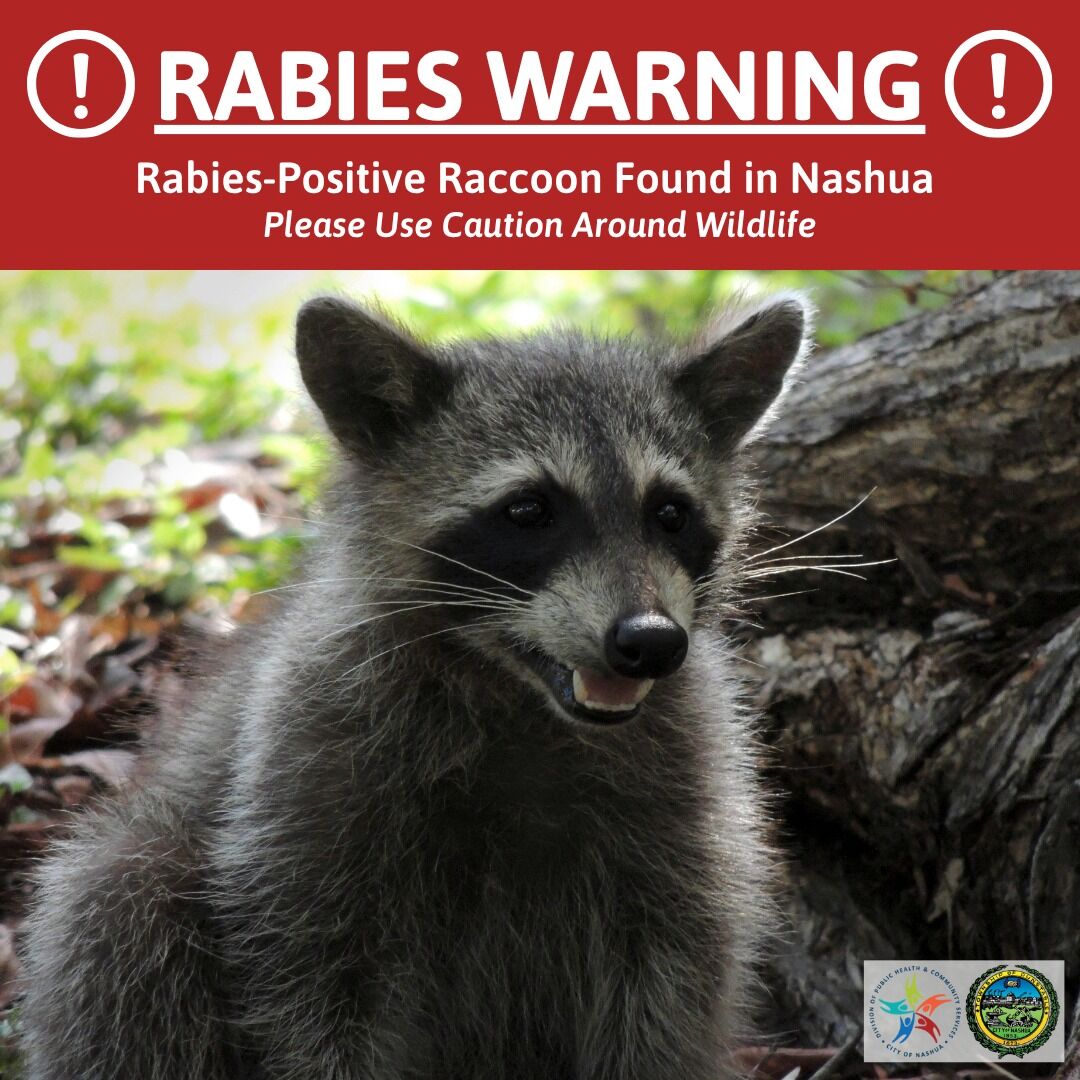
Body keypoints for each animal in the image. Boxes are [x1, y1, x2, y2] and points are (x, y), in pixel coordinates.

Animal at [22, 292, 810, 1080]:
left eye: (670, 513)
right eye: (529, 510)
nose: (650, 642)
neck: (517, 693)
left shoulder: (683, 794)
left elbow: (670, 981)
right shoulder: (309, 767)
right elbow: (313, 985)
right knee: (118, 899)